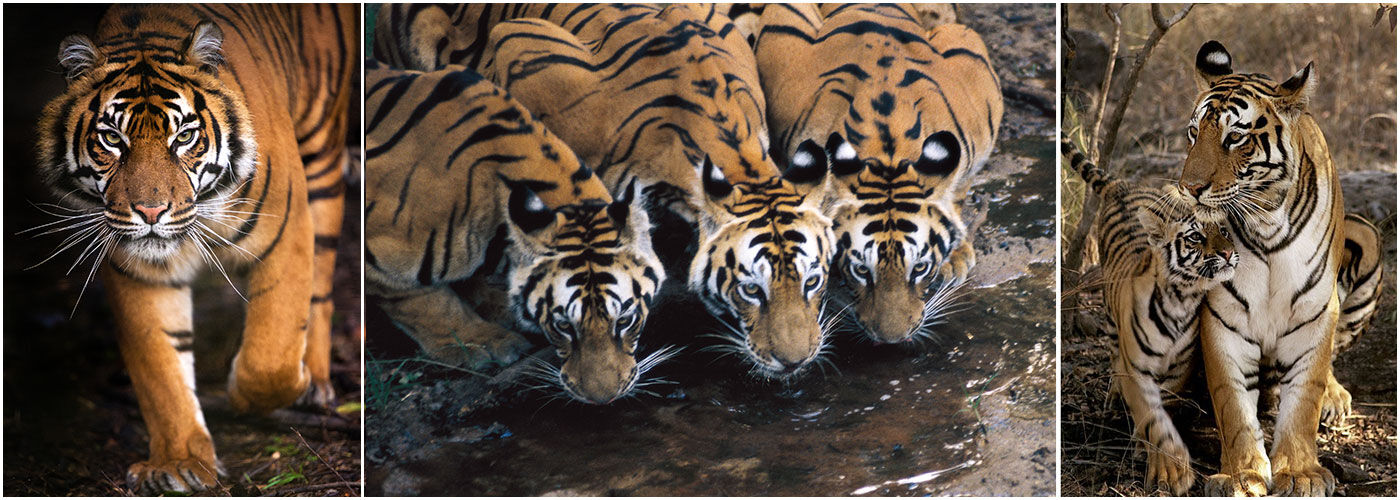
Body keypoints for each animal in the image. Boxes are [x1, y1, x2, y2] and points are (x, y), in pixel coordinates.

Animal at [33, 4, 352, 493]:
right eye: (112, 139)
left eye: (183, 137)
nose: (150, 211)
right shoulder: (138, 271)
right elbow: (161, 371)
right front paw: (179, 463)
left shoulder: (288, 229)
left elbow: (270, 355)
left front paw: (266, 388)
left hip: (321, 154)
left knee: (321, 284)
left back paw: (314, 382)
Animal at [363, 60, 667, 405]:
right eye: (564, 325)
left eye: (625, 320)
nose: (603, 398)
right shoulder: (379, 254)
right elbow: (427, 303)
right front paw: (483, 342)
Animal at [750, 3, 1003, 343]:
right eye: (861, 270)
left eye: (919, 268)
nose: (892, 339)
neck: (889, 153)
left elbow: (958, 190)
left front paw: (956, 255)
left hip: (963, 36)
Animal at [1063, 138, 1239, 495]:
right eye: (1196, 237)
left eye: (1225, 231)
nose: (1228, 253)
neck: (1183, 298)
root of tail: (1124, 184)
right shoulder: (1137, 369)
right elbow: (1153, 418)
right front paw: (1171, 473)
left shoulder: (1179, 369)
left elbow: (1164, 410)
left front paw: (1152, 453)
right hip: (1111, 320)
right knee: (1113, 356)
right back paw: (1114, 396)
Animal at [1168, 40, 1352, 496]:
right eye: (1193, 134)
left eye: (1235, 138)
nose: (1189, 189)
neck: (1266, 225)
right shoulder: (1224, 319)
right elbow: (1233, 407)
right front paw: (1241, 475)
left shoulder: (1315, 314)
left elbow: (1303, 400)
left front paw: (1301, 473)